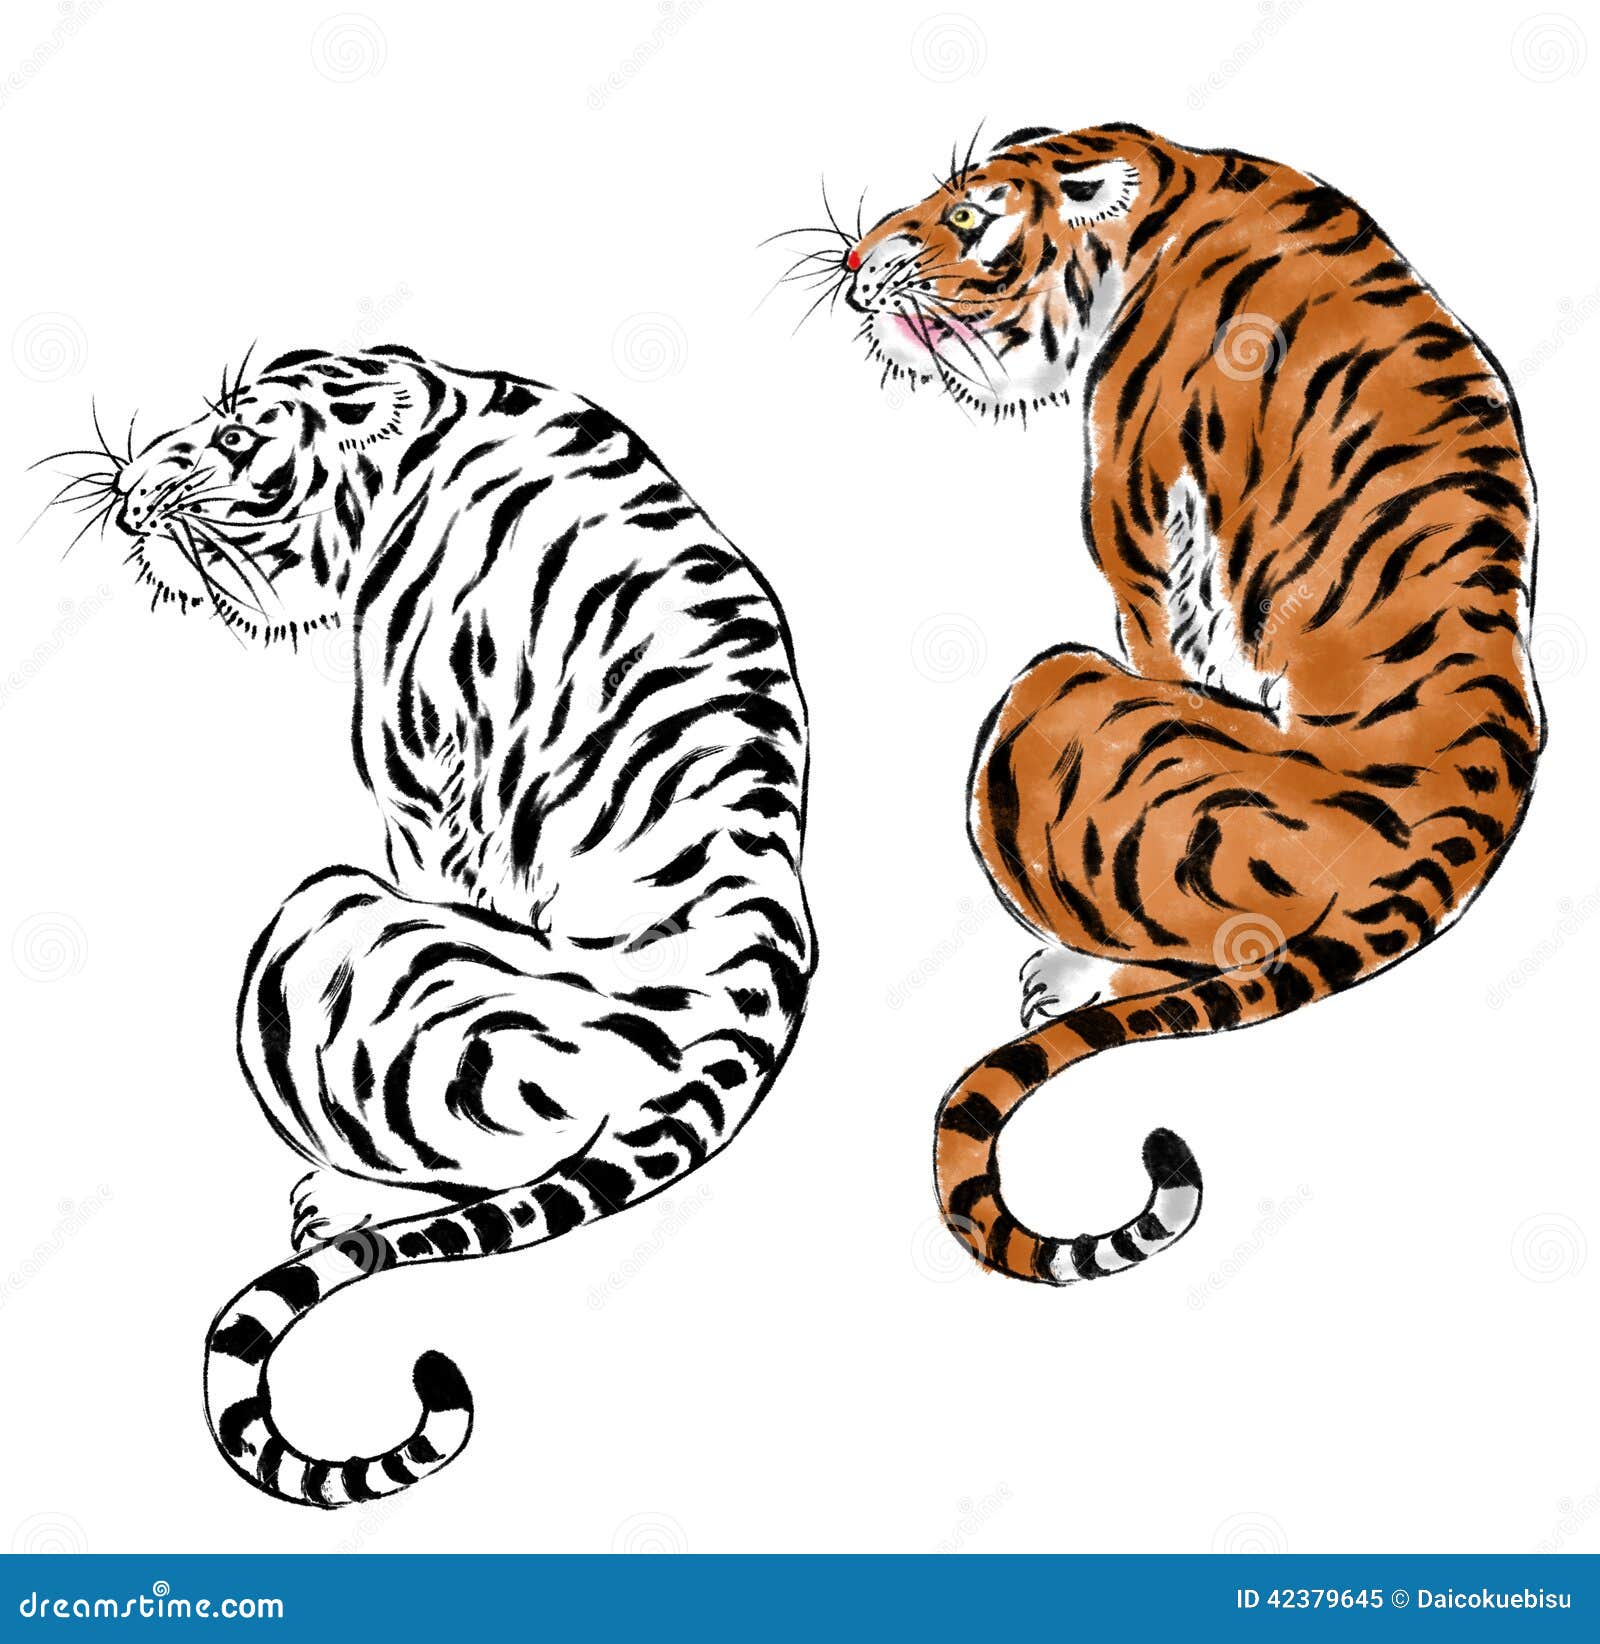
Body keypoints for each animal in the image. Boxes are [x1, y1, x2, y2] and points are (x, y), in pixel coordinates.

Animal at [52, 345, 815, 1505]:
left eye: (231, 438)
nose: (131, 490)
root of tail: (745, 998)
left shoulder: (419, 786)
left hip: (327, 923)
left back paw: (339, 1198)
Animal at [813, 123, 1542, 1284]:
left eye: (963, 216)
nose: (848, 263)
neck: (1168, 185)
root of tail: (1465, 818)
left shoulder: (1142, 544)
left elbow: (1165, 640)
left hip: (1045, 697)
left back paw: (1068, 970)